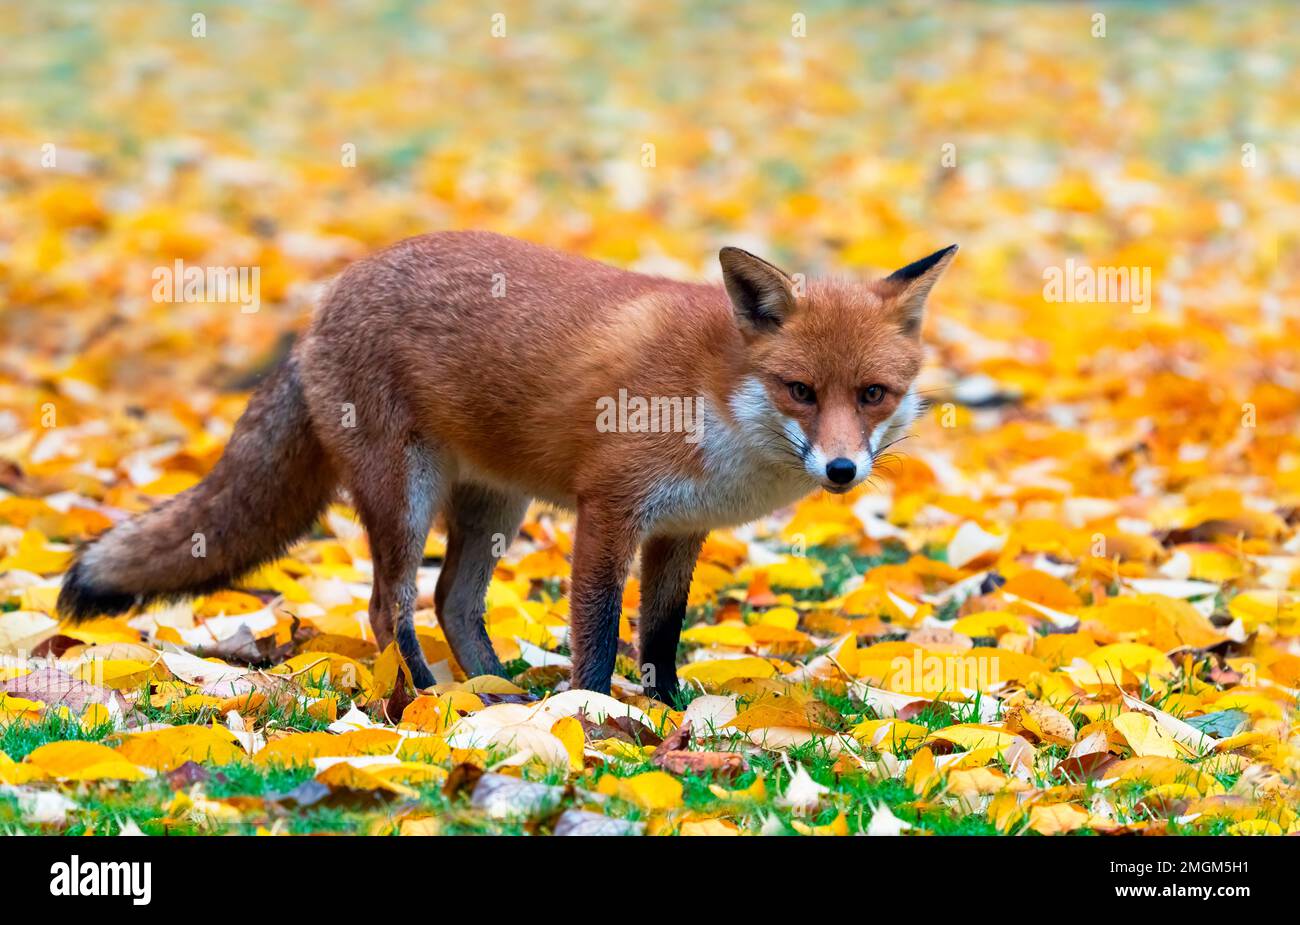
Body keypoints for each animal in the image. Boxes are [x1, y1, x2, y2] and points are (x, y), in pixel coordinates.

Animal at [57, 231, 956, 702]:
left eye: (872, 394)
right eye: (800, 389)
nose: (840, 469)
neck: (716, 395)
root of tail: (323, 307)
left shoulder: (680, 529)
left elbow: (660, 633)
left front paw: (667, 712)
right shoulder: (609, 506)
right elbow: (599, 628)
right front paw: (593, 718)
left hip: (495, 507)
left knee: (453, 602)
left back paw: (496, 694)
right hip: (406, 496)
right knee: (390, 607)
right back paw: (427, 698)